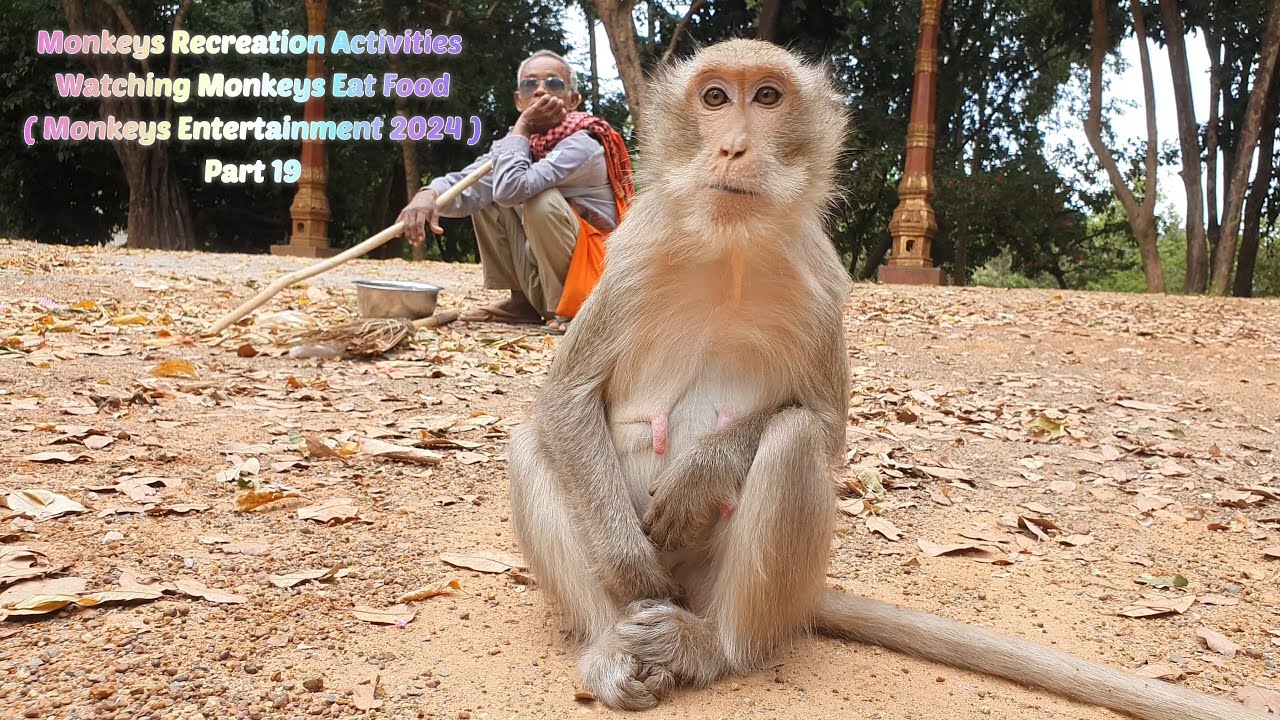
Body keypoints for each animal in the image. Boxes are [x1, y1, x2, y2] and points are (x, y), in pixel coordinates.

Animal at [506, 39, 1265, 720]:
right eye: (715, 98)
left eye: (768, 97)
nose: (733, 148)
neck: (731, 250)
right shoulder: (632, 258)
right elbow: (567, 399)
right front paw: (629, 567)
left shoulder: (820, 283)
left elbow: (823, 425)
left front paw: (700, 478)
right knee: (530, 442)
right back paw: (612, 644)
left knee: (790, 442)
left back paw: (710, 647)